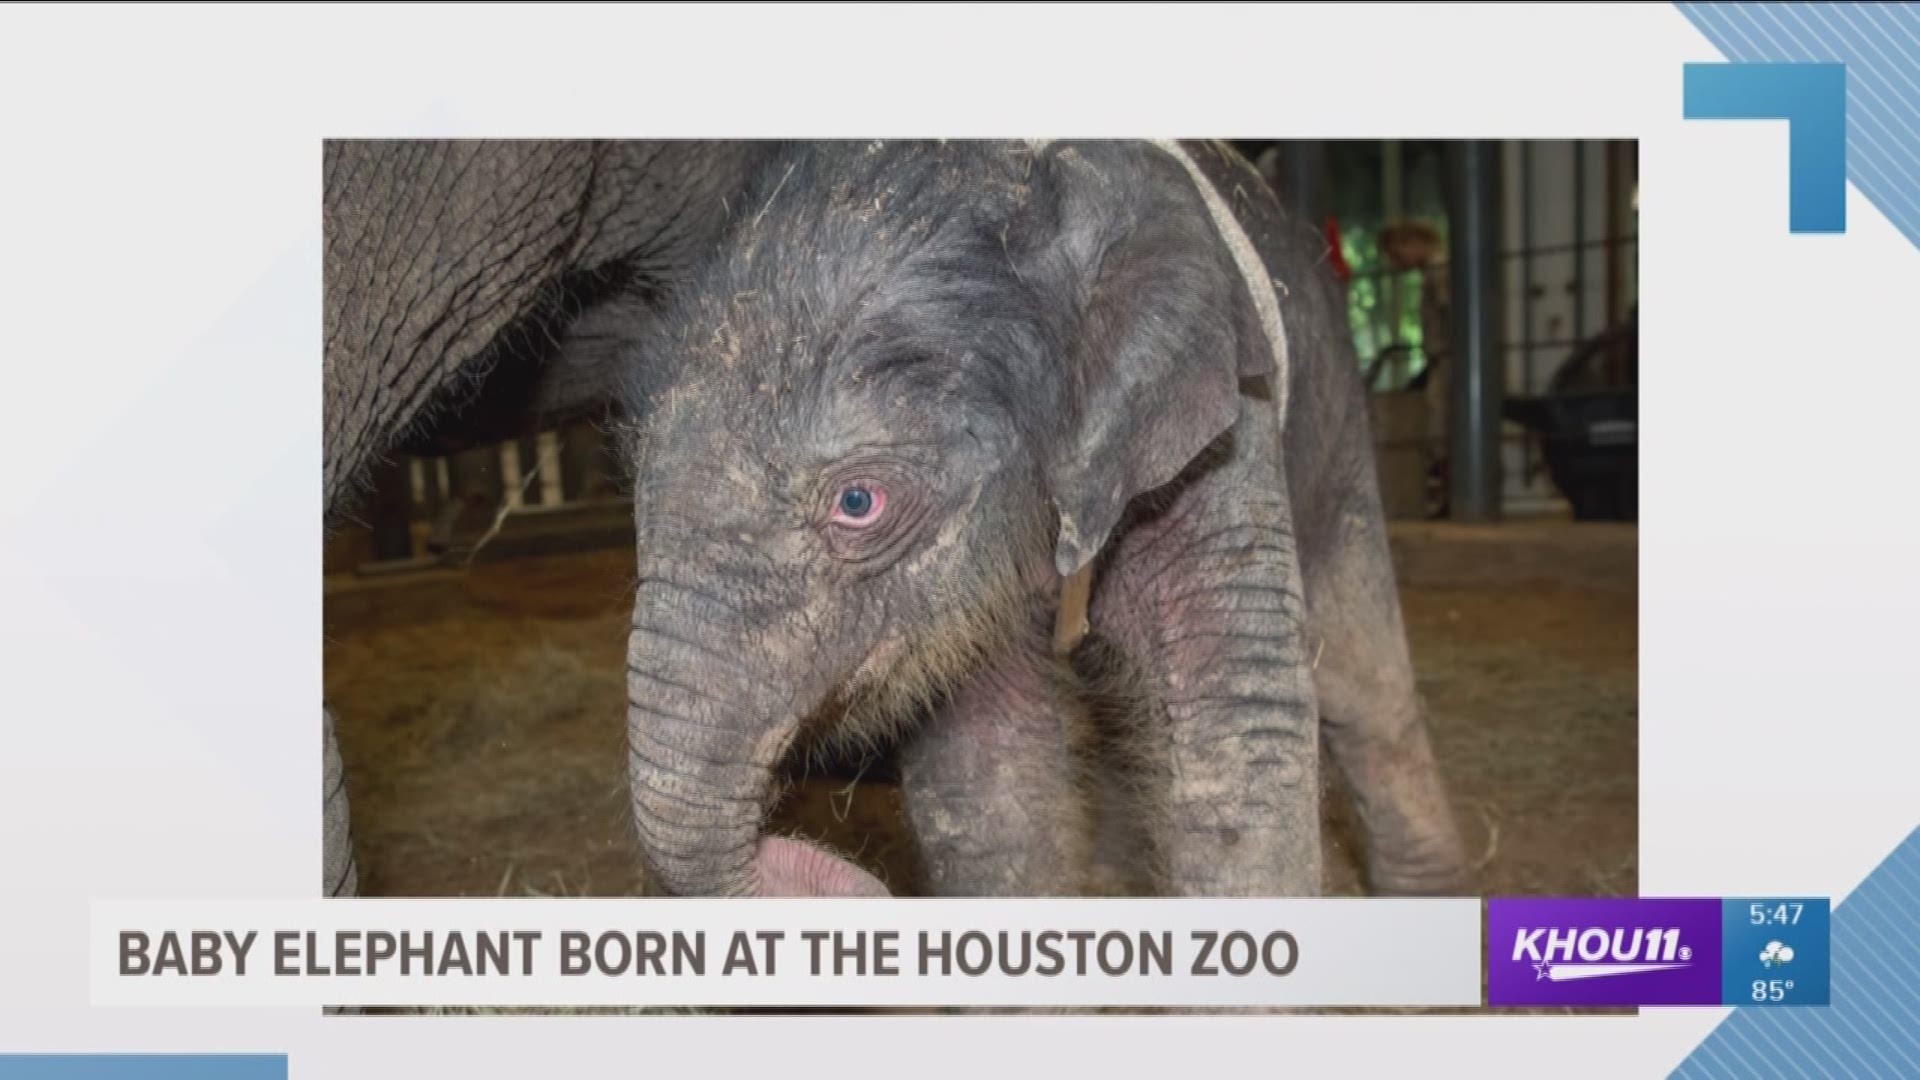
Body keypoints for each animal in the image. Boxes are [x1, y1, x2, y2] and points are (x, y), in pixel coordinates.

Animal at [321, 138, 1471, 903]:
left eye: (857, 502)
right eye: (631, 474)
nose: (859, 881)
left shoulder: (1220, 437)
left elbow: (1239, 746)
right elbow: (986, 787)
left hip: (1332, 427)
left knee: (1363, 678)